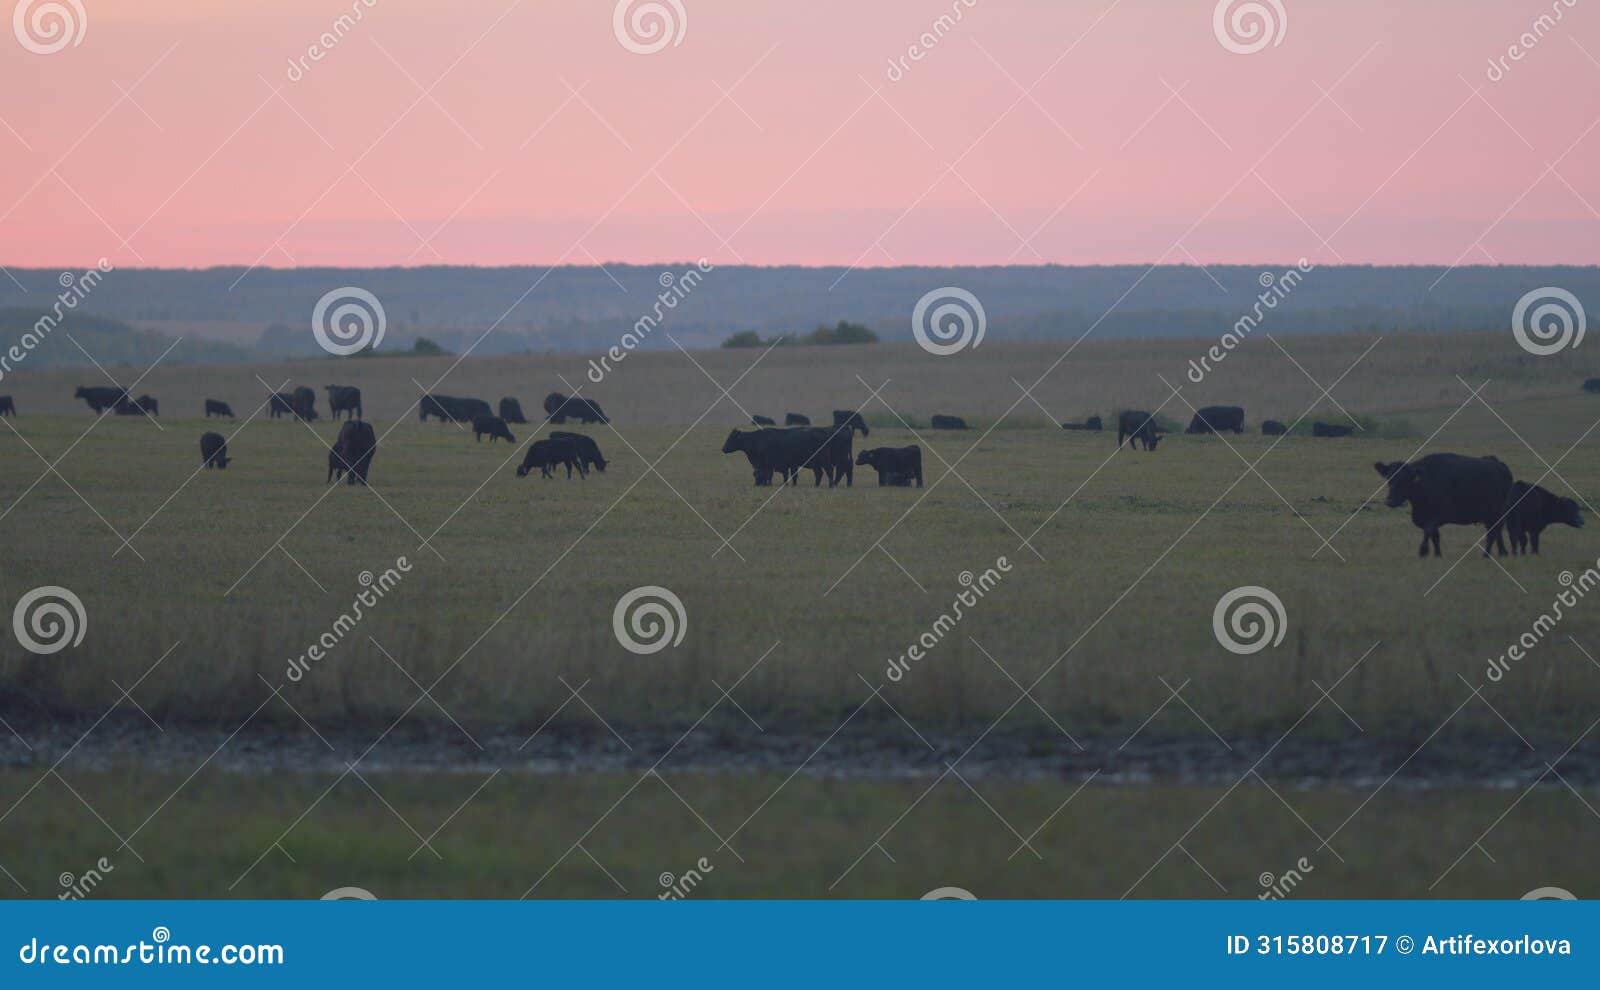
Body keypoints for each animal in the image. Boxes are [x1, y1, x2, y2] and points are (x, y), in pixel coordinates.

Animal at [1374, 453, 1513, 558]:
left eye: (1406, 480)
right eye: (1389, 479)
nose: (1390, 501)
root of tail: (1499, 464)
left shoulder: (1437, 515)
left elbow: (1428, 530)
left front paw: (1423, 551)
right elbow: (1435, 536)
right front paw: (1437, 554)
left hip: (1495, 512)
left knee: (1493, 532)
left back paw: (1487, 555)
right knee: (1496, 532)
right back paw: (1502, 552)